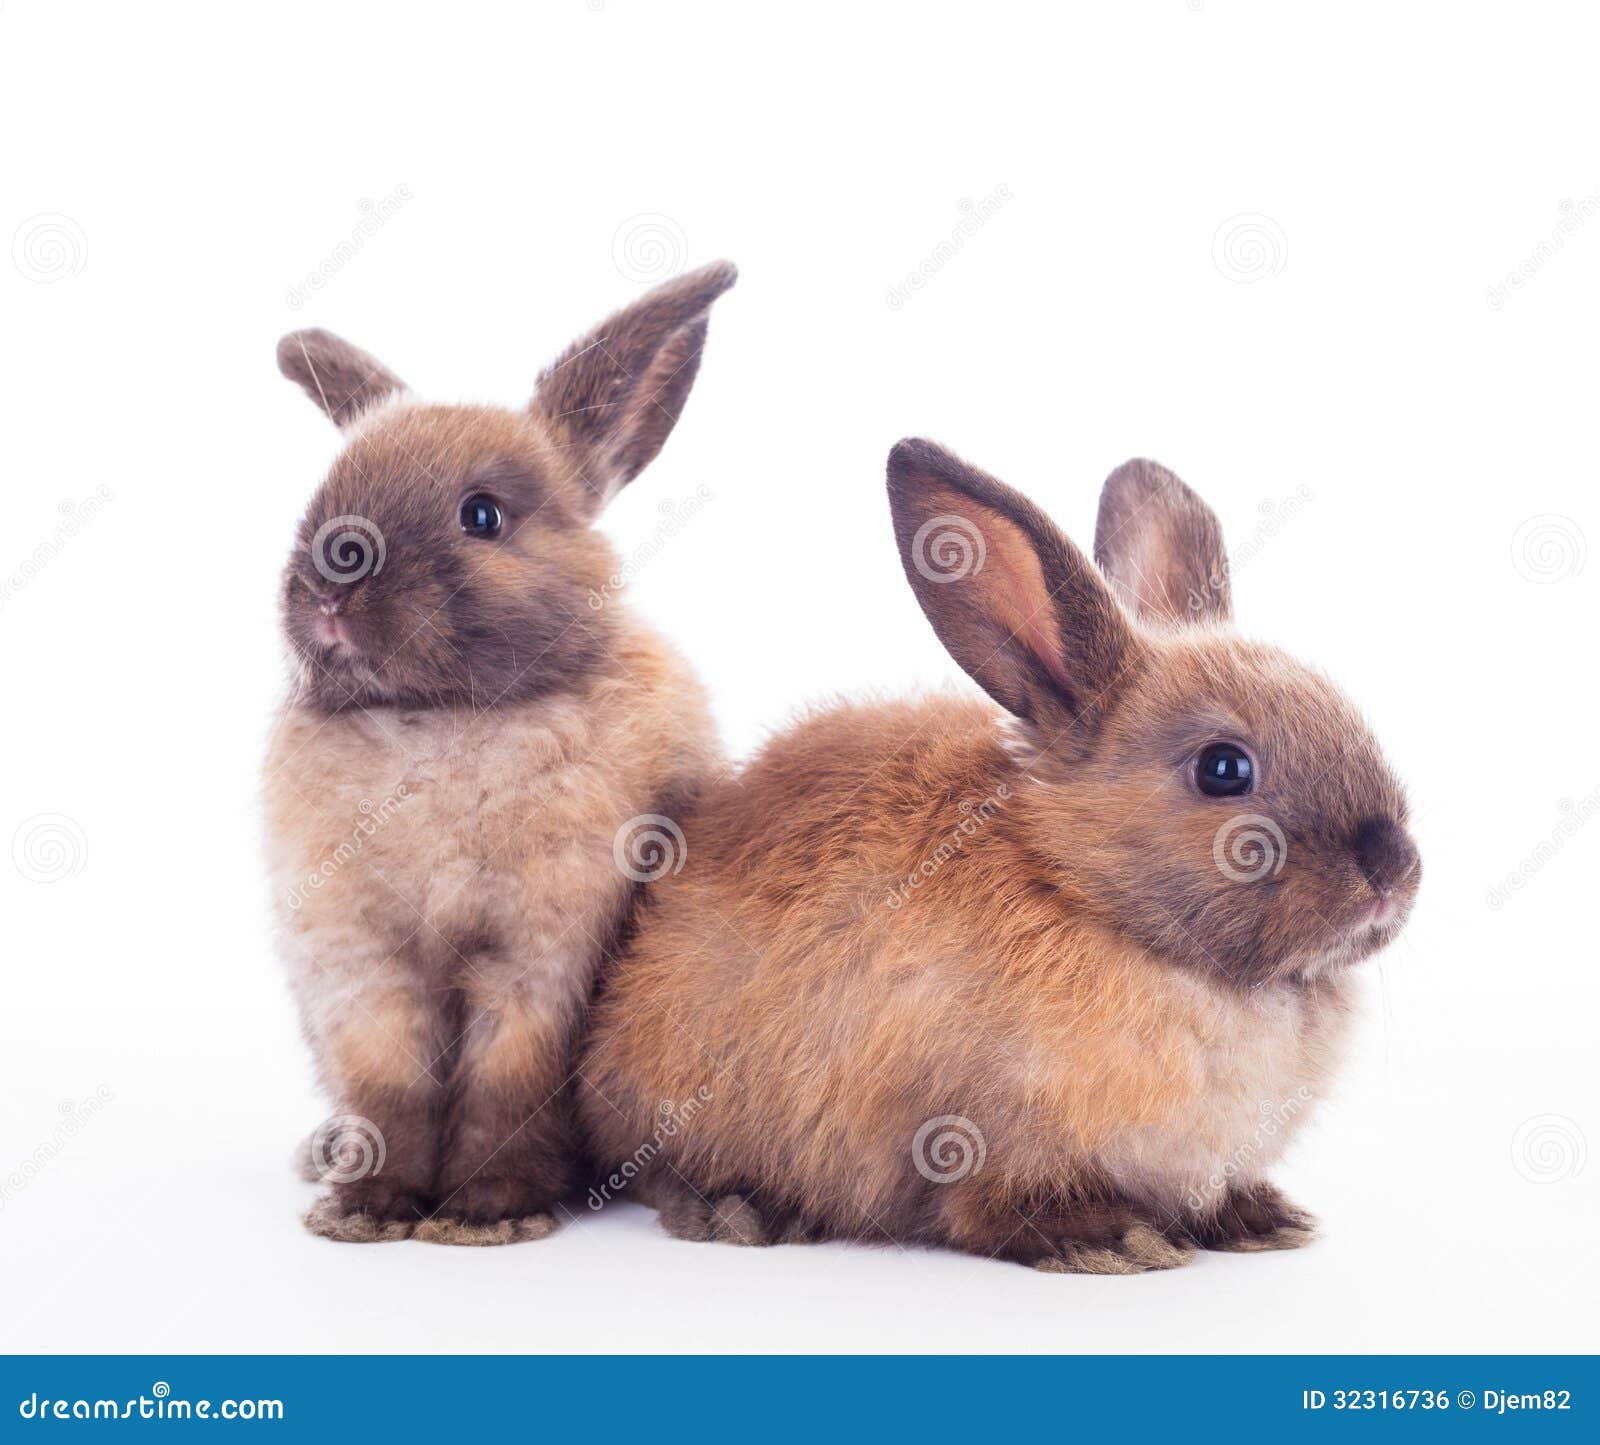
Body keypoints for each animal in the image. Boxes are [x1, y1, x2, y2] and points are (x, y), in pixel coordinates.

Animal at [263, 261, 736, 1245]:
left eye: (482, 515)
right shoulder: (362, 967)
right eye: (324, 489)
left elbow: (505, 1088)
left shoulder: (543, 964)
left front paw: (486, 1215)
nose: (334, 568)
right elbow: (390, 1091)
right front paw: (368, 1209)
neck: (439, 718)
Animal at [576, 438, 1420, 1272]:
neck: (1081, 893)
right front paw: (1117, 1237)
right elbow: (990, 1206)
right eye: (1223, 768)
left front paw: (1262, 1218)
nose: (1394, 868)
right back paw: (742, 1209)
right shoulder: (966, 1133)